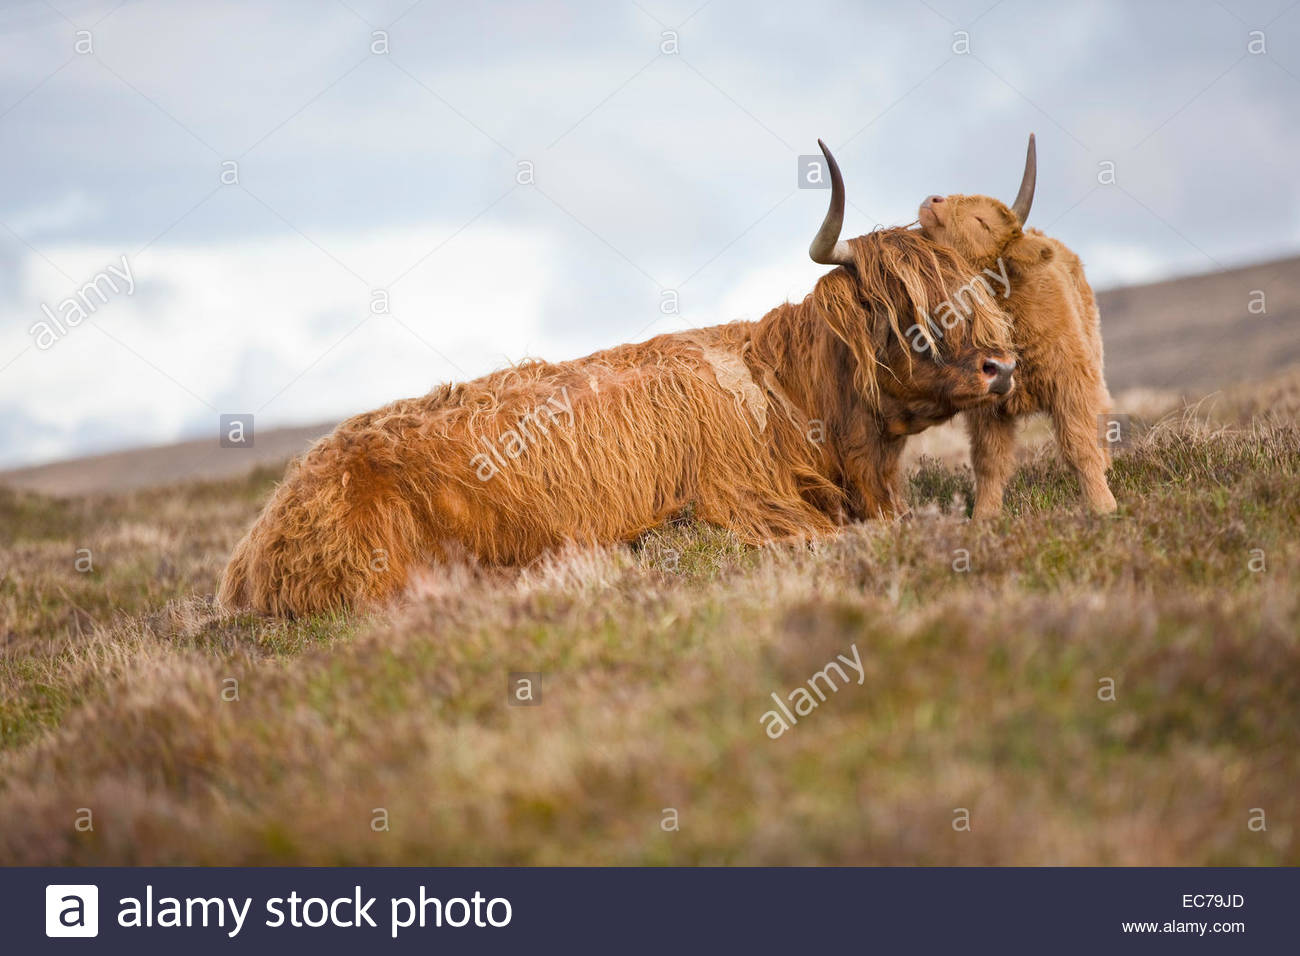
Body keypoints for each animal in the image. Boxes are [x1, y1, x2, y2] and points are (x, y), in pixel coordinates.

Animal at [917, 134, 1118, 517]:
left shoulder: (1070, 383)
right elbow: (989, 461)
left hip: (1094, 362)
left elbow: (1079, 443)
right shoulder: (984, 402)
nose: (932, 200)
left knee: (1101, 415)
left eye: (981, 221)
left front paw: (1103, 505)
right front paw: (984, 516)